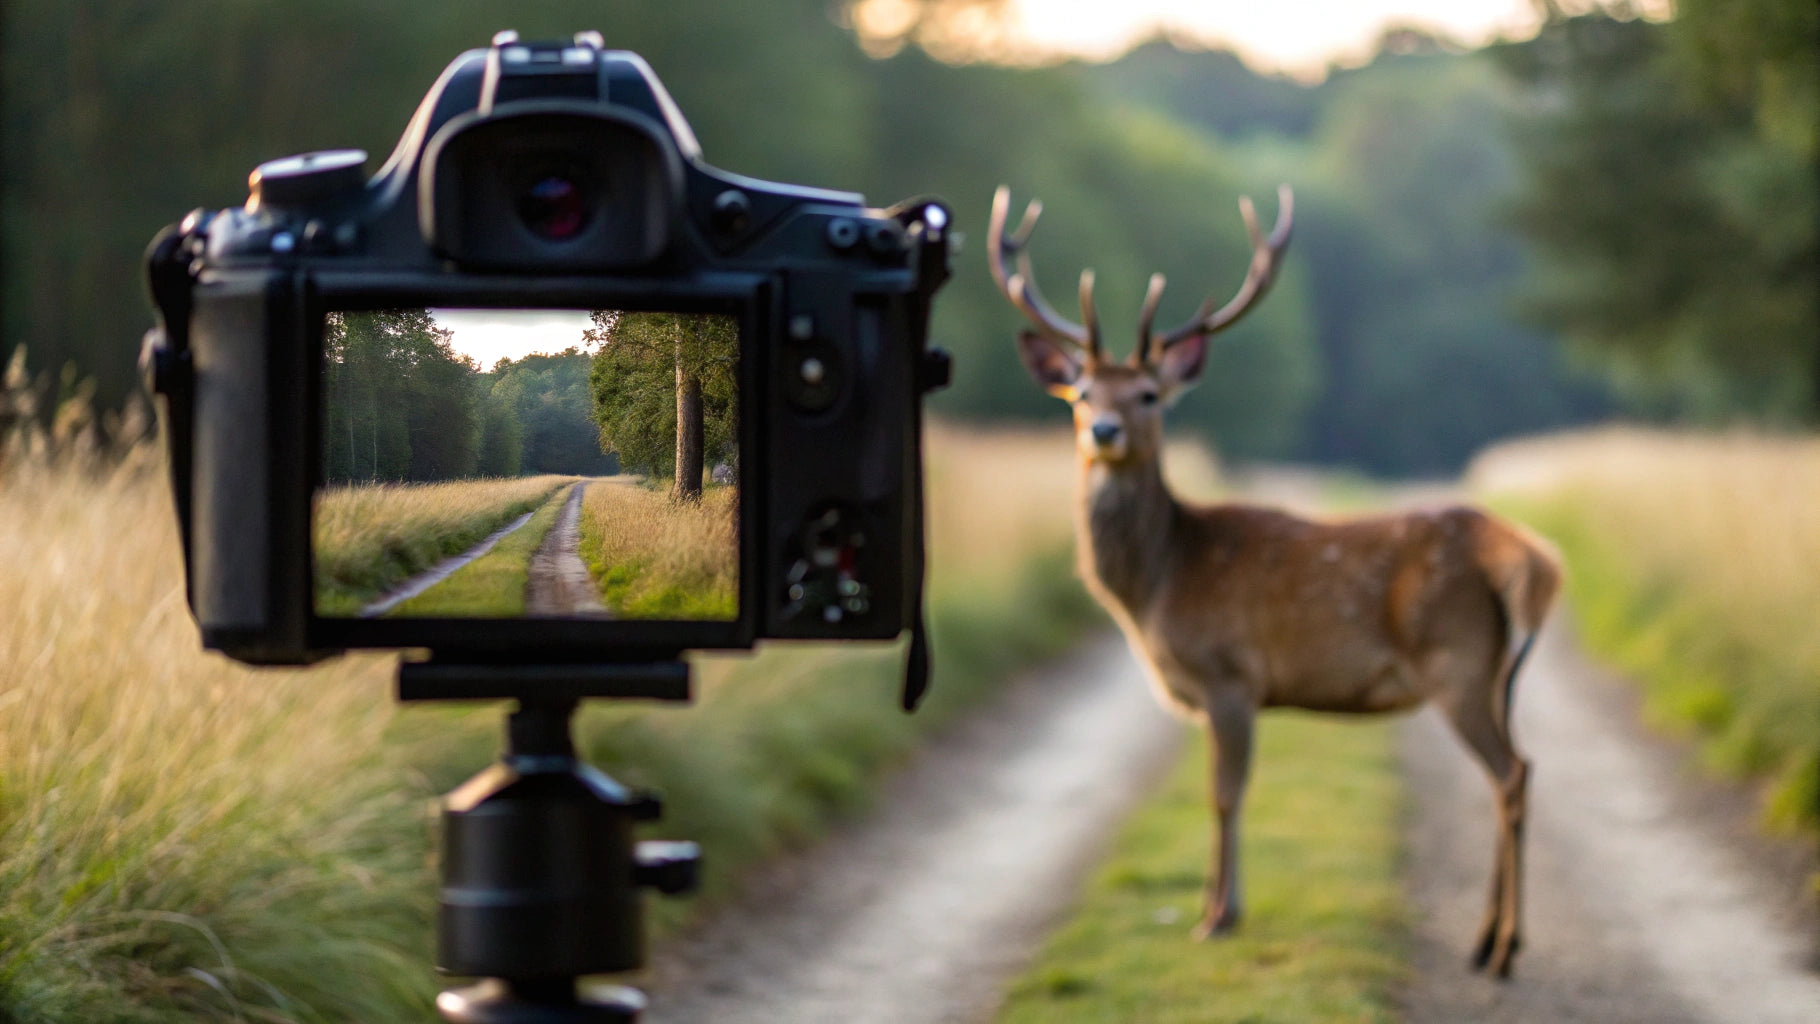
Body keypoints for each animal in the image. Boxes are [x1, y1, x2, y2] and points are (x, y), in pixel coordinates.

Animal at [988, 184, 1561, 978]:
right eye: (1078, 391)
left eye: (1148, 394)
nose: (1102, 432)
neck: (1159, 588)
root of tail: (1529, 560)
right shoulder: (1211, 693)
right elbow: (1220, 793)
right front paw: (1214, 907)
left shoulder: (1229, 675)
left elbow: (1225, 795)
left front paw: (1218, 918)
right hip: (1500, 673)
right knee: (1518, 770)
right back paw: (1484, 940)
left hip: (1459, 662)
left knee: (1511, 775)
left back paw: (1502, 948)